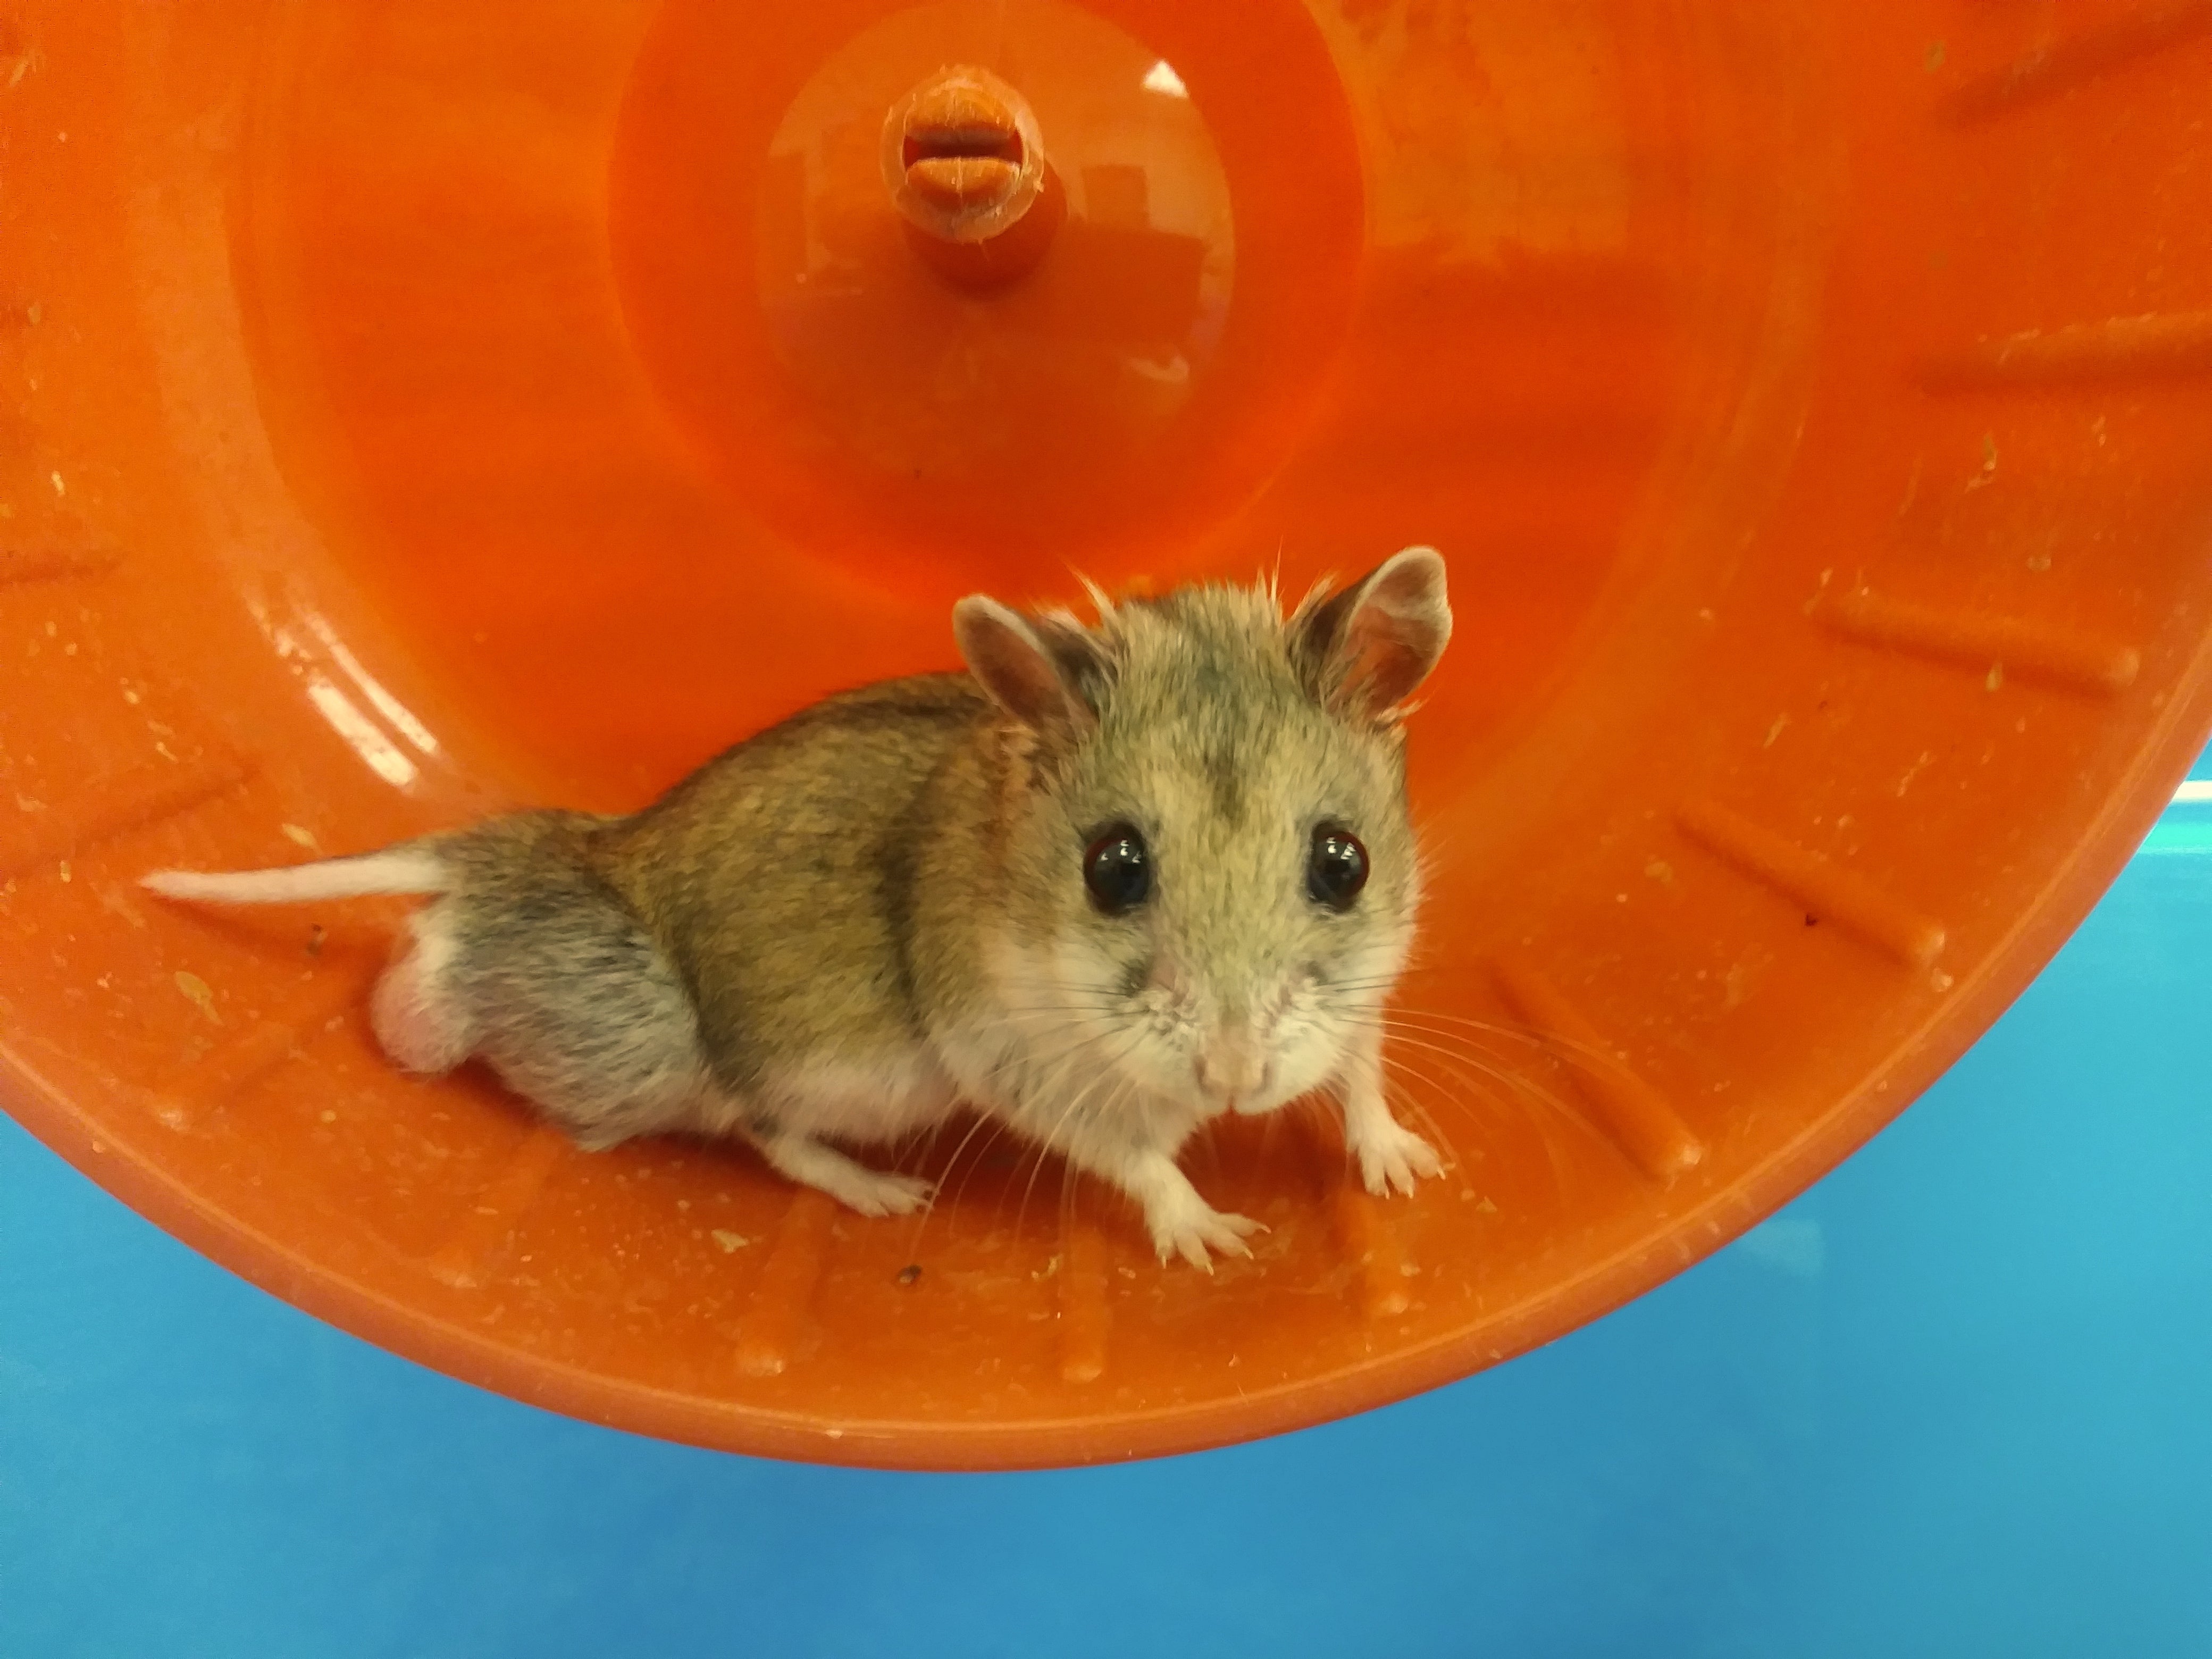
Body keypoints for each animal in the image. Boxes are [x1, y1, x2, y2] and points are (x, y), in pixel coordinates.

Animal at [143, 548, 1453, 1267]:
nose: (1235, 1082)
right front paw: (1217, 1240)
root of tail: (590, 848)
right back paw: (888, 1197)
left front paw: (1407, 1171)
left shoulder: (1365, 997)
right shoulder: (1019, 1069)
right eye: (1113, 867)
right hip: (718, 1054)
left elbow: (1360, 1075)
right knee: (746, 1121)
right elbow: (1133, 1155)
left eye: (1343, 863)